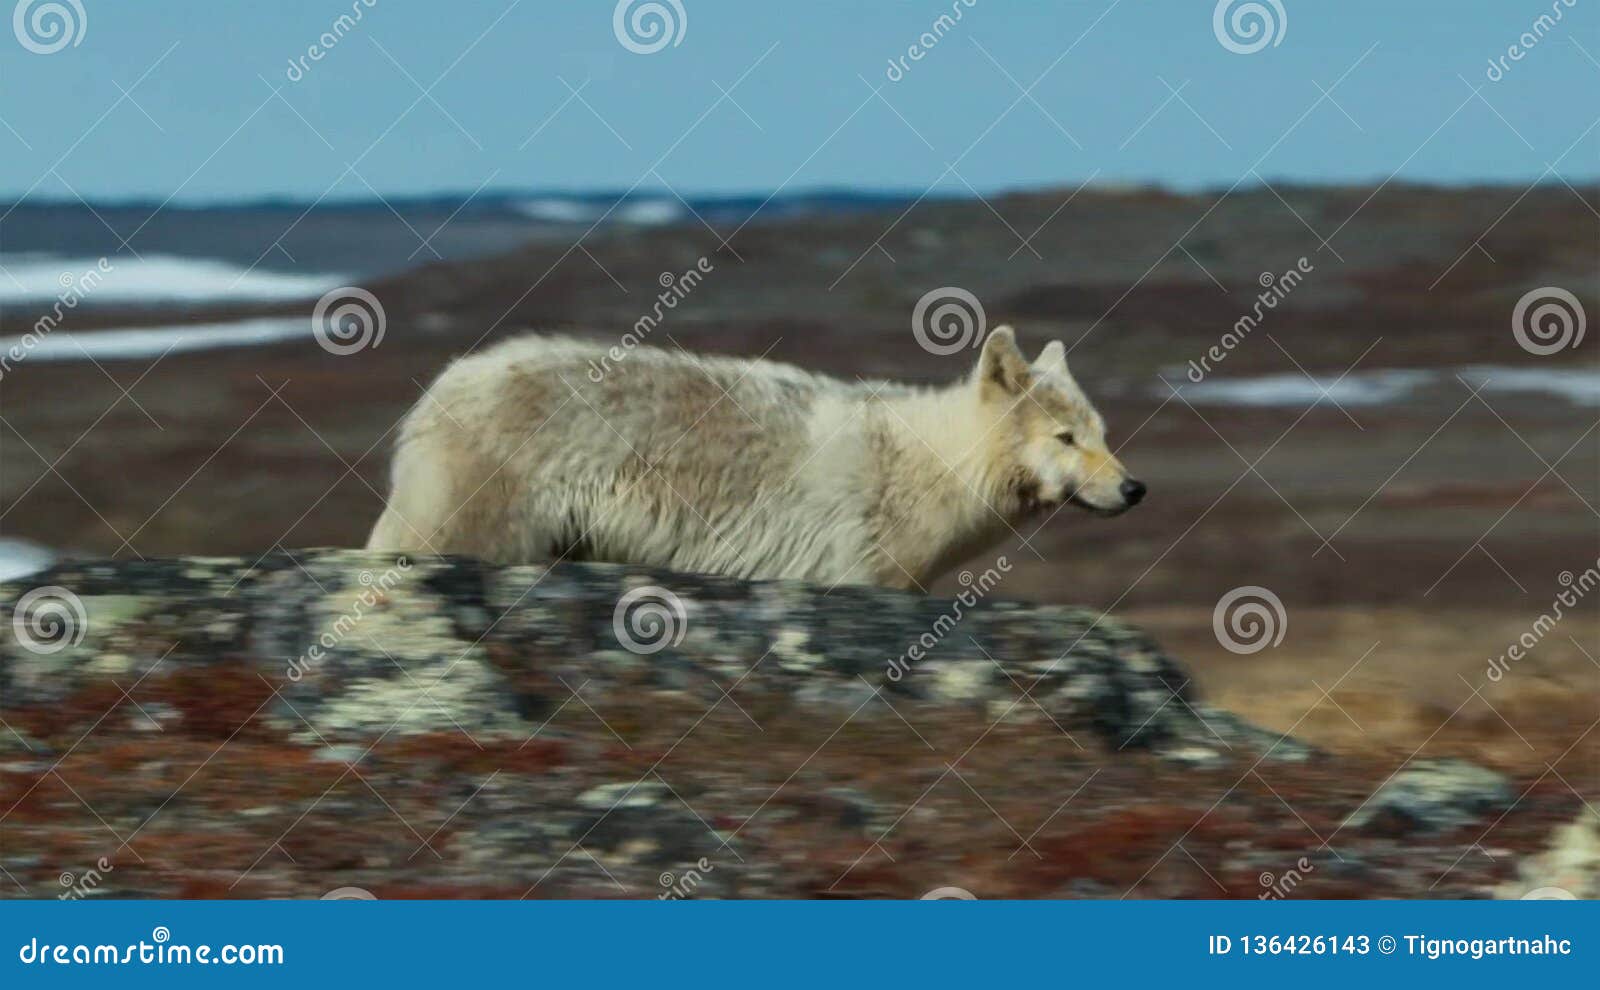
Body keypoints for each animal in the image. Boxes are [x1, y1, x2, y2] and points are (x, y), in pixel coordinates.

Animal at [366, 327, 1144, 589]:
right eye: (1065, 439)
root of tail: (441, 387)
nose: (1135, 489)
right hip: (472, 525)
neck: (932, 466)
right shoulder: (860, 571)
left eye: (1103, 433)